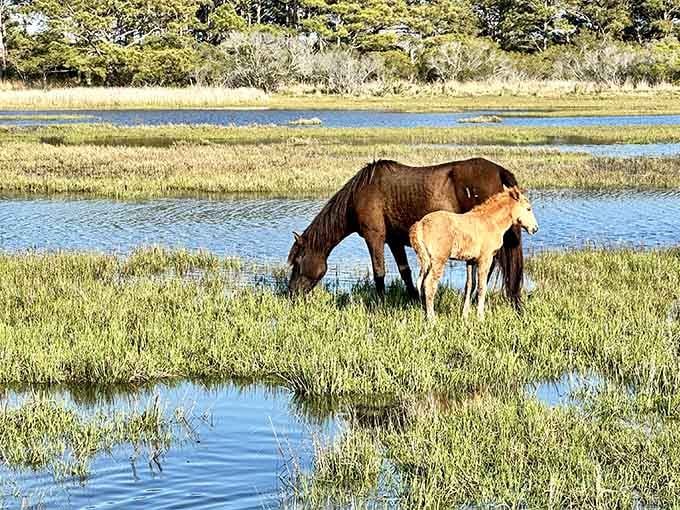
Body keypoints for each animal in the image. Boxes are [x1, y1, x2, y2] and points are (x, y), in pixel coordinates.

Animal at [287, 158, 525, 307]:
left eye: (297, 262)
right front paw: (414, 299)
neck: (360, 194)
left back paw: (475, 299)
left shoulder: (375, 238)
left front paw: (379, 305)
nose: (291, 294)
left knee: (490, 266)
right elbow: (405, 271)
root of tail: (499, 171)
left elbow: (379, 272)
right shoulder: (394, 241)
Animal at [409, 186, 538, 321]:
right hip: (439, 260)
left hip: (426, 261)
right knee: (429, 285)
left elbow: (470, 285)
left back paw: (424, 314)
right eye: (528, 208)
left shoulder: (471, 260)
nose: (535, 228)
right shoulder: (486, 258)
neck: (492, 222)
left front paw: (464, 316)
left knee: (420, 283)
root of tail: (419, 226)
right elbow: (482, 287)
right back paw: (432, 319)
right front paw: (480, 317)